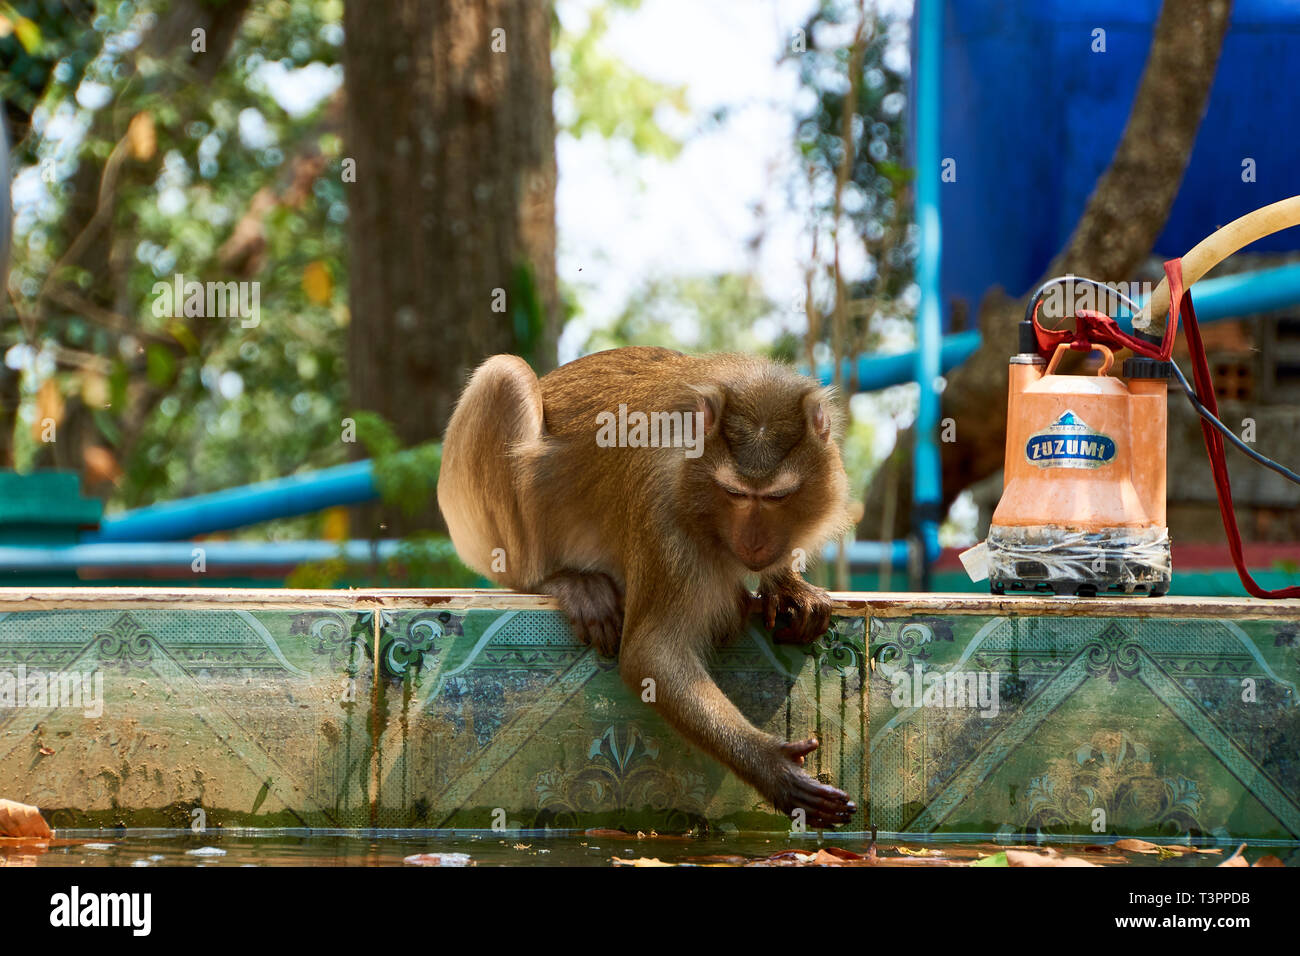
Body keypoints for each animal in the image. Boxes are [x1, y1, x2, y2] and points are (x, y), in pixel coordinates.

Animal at [437, 346, 857, 827]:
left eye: (776, 498)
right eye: (735, 494)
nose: (753, 542)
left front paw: (787, 584)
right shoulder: (663, 511)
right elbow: (651, 656)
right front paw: (771, 769)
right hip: (476, 525)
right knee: (505, 374)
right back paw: (557, 580)